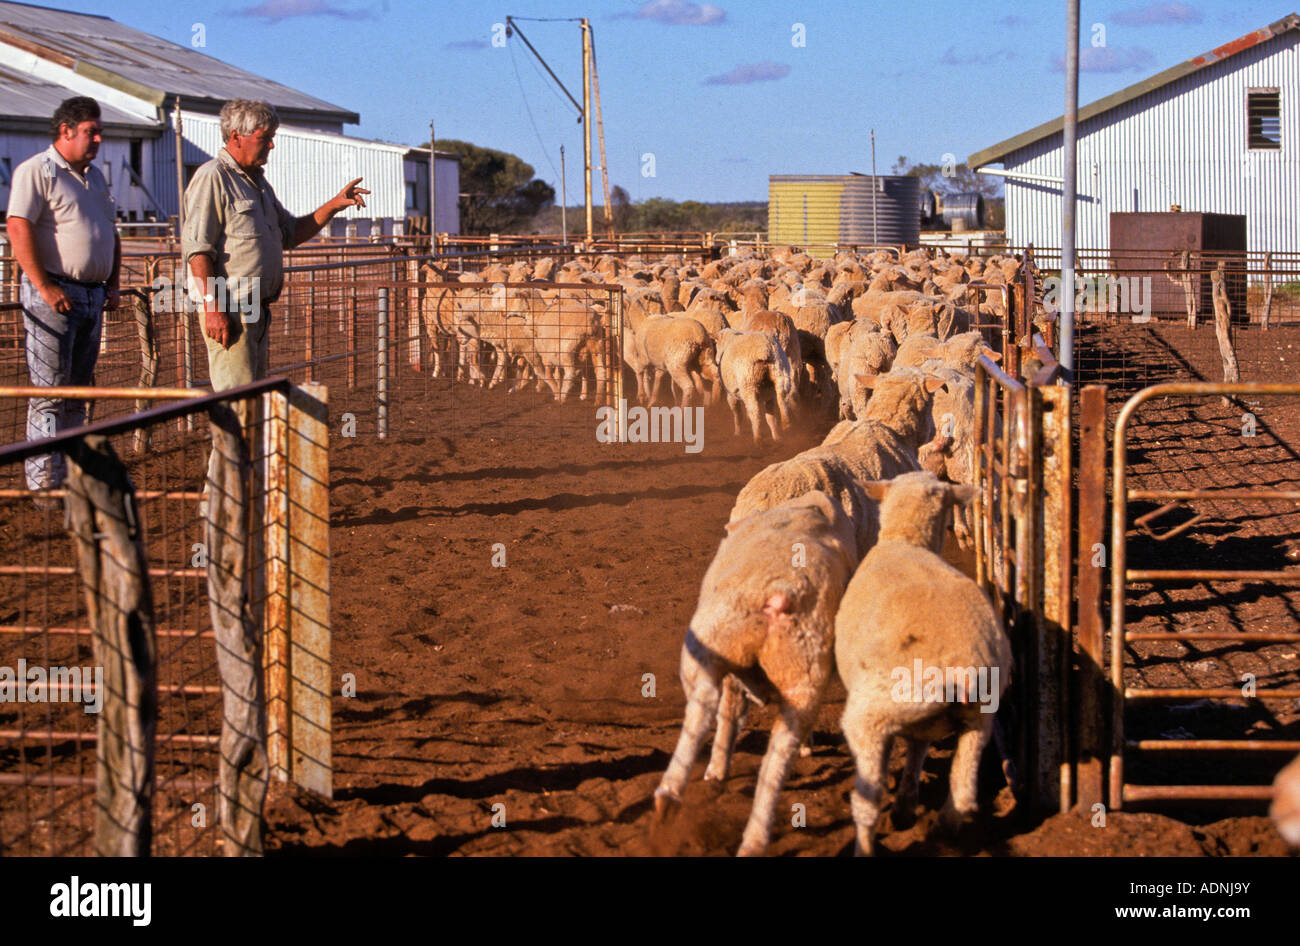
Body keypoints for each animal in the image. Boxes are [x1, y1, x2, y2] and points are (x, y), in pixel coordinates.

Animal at [653, 490, 859, 857]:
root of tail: (783, 591)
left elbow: (728, 714)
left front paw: (716, 769)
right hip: (801, 677)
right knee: (777, 758)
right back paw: (754, 838)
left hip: (711, 640)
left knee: (703, 705)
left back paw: (670, 794)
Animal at [834, 471, 1011, 856]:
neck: (907, 539)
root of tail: (961, 668)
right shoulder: (925, 723)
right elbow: (916, 750)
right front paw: (904, 808)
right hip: (979, 717)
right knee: (963, 792)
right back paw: (944, 829)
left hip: (876, 710)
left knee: (868, 801)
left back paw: (866, 846)